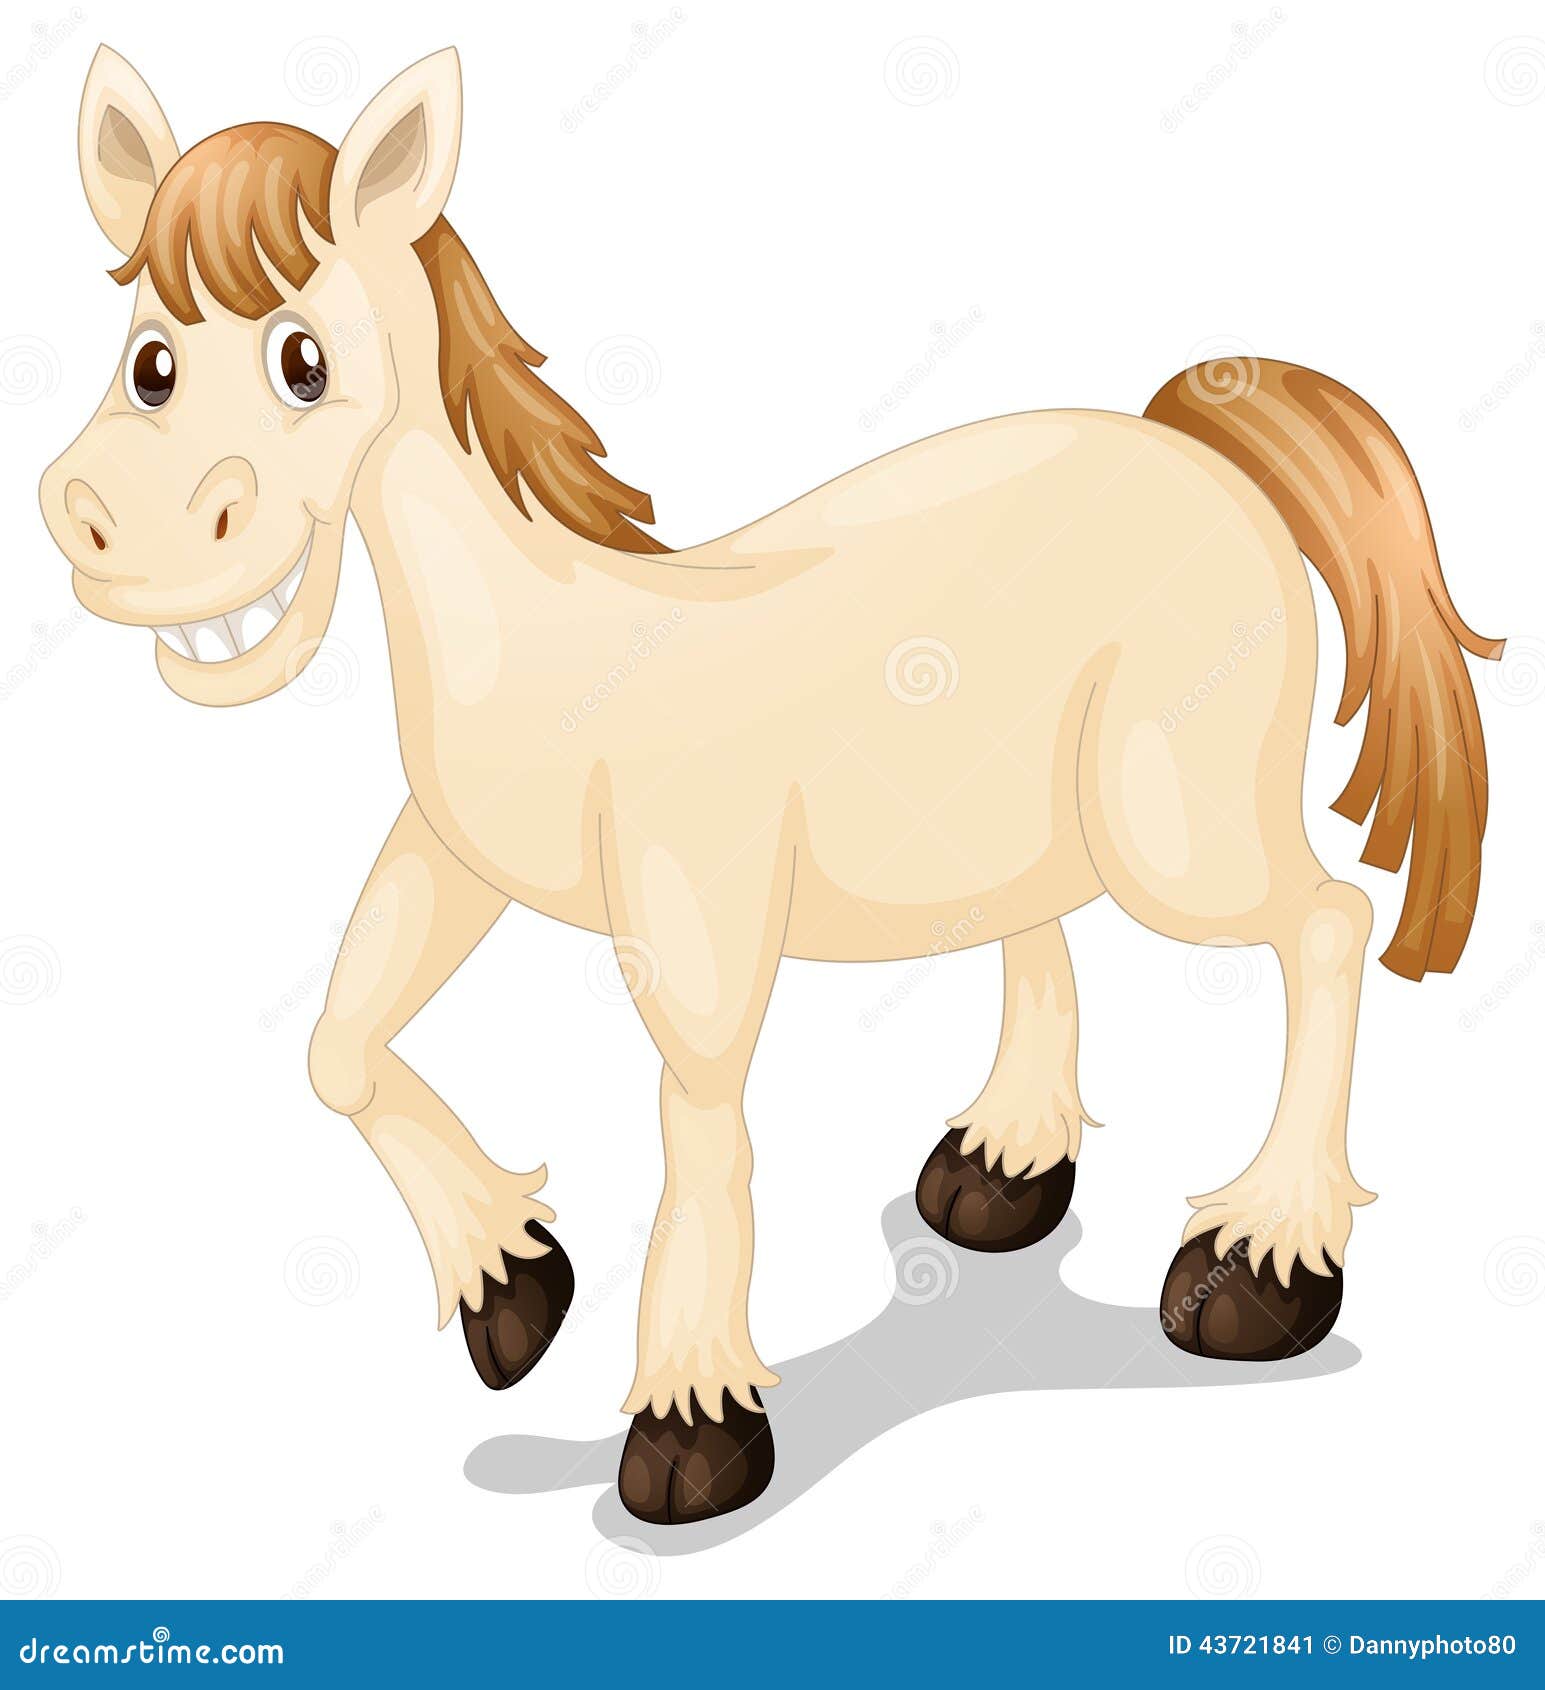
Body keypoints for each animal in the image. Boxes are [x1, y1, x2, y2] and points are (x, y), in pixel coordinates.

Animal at [41, 46, 1502, 1525]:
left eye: (303, 360)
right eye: (150, 360)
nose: (114, 528)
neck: (553, 655)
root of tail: (1192, 447)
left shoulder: (699, 929)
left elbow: (702, 1141)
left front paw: (691, 1427)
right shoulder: (451, 860)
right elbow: (342, 1046)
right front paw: (512, 1283)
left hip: (1173, 831)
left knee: (1327, 926)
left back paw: (1263, 1262)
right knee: (1043, 923)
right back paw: (1001, 1169)